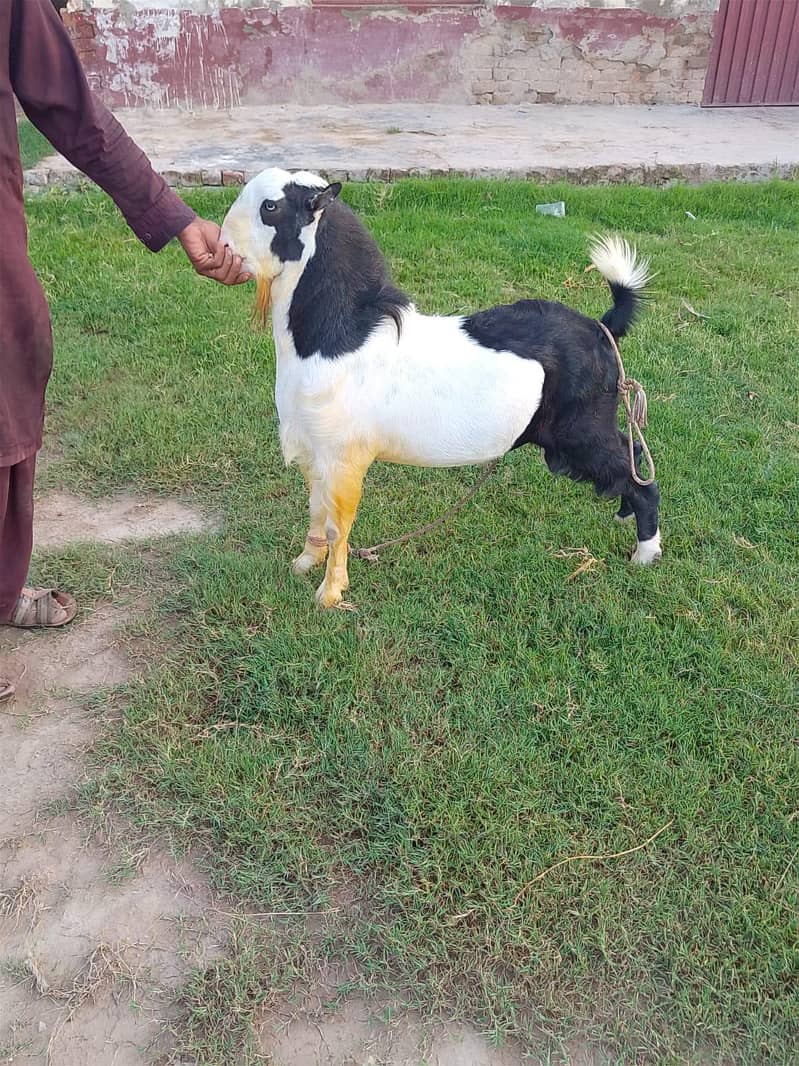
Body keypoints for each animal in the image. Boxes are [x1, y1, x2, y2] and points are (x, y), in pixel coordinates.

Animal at [221, 168, 661, 608]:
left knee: (639, 477)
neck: (343, 334)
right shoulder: (314, 451)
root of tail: (602, 327)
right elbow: (316, 510)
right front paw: (303, 564)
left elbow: (337, 526)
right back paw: (623, 515)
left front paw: (328, 595)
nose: (223, 245)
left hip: (580, 432)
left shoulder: (343, 457)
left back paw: (646, 553)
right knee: (633, 453)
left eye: (270, 206)